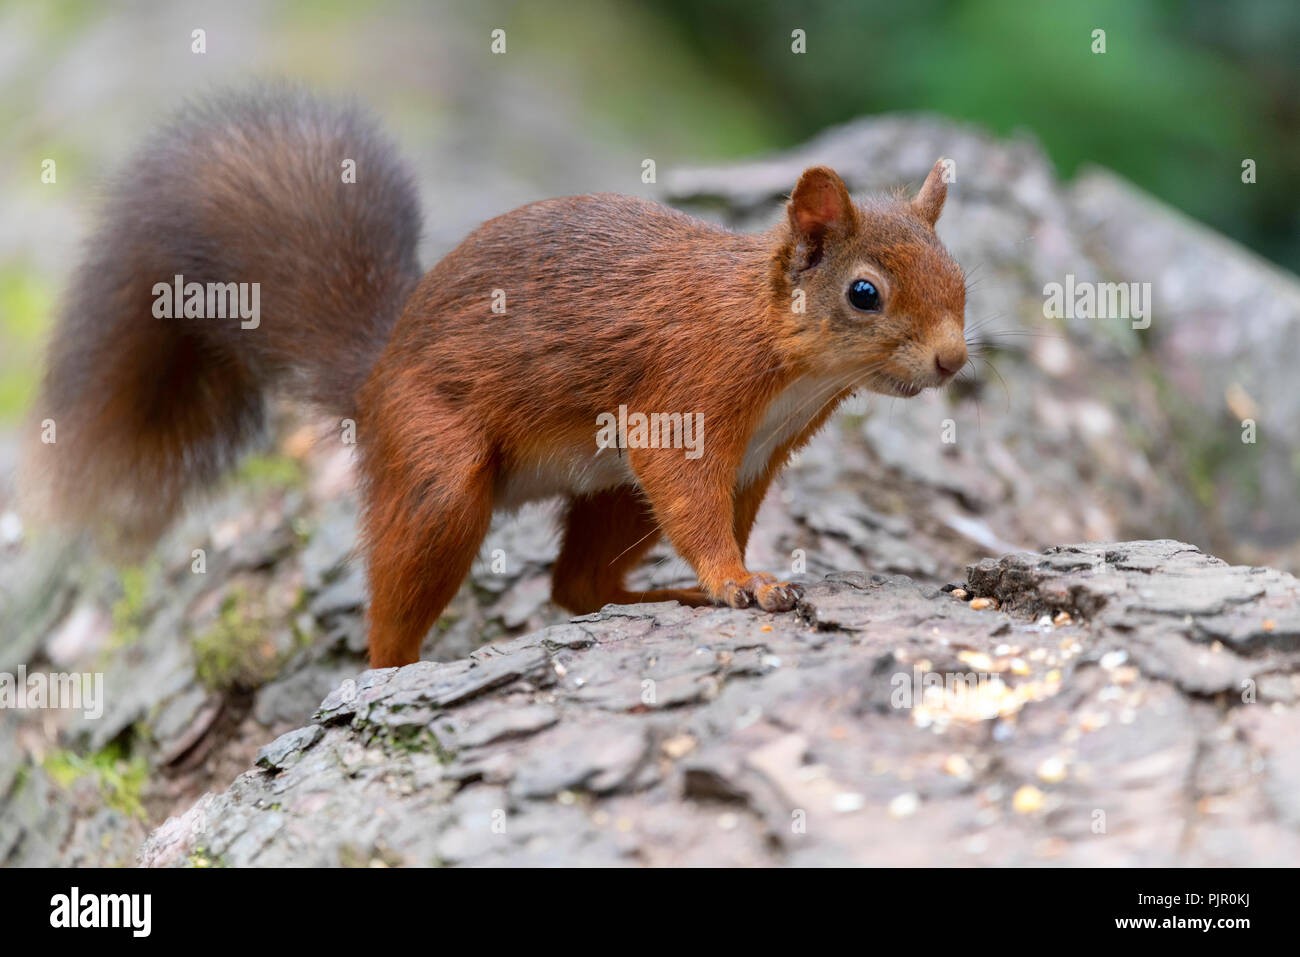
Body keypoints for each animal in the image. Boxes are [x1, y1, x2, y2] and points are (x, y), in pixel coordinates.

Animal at [27, 86, 967, 668]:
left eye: (960, 278)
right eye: (865, 293)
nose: (954, 359)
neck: (784, 360)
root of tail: (374, 378)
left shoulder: (762, 455)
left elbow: (727, 511)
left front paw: (741, 578)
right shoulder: (687, 395)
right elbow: (694, 503)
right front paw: (736, 579)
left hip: (610, 495)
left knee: (577, 587)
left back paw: (660, 594)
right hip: (438, 470)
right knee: (406, 599)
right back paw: (396, 665)